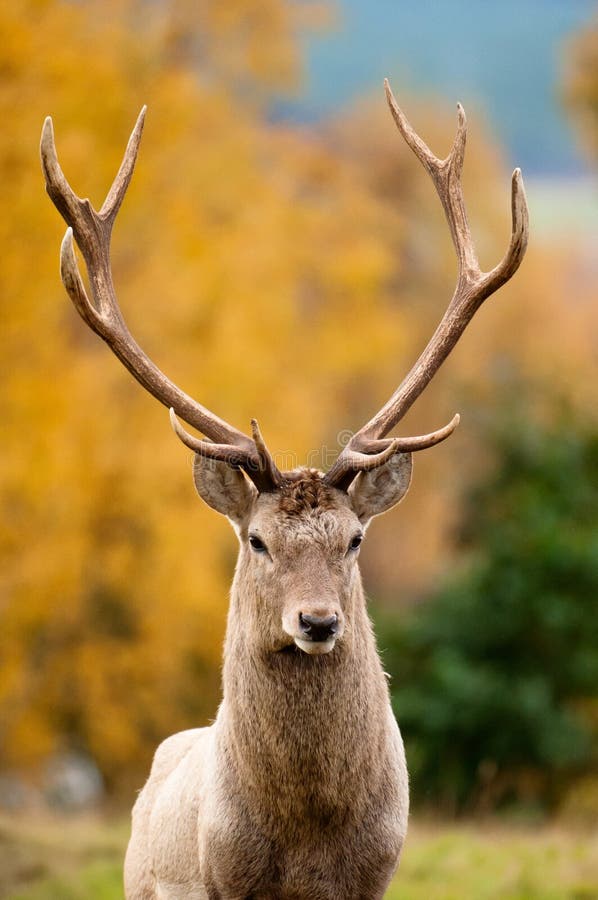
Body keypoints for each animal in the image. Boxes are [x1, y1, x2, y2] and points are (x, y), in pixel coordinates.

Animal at [40, 80, 528, 899]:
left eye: (355, 539)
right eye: (258, 539)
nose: (318, 621)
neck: (307, 844)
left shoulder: (376, 877)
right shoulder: (224, 884)